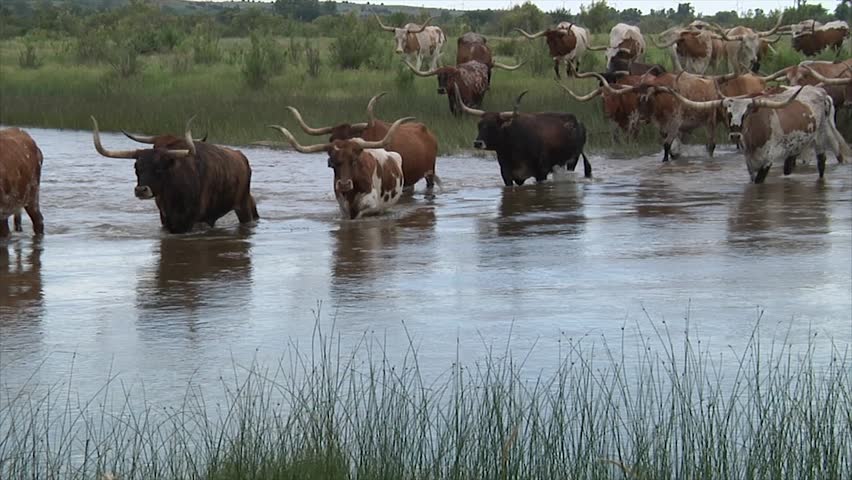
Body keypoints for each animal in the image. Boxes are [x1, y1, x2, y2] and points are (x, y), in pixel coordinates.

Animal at [90, 117, 259, 234]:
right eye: (136, 166)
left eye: (159, 168)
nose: (141, 190)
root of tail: (241, 156)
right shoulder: (166, 220)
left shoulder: (194, 221)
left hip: (243, 207)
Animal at [455, 87, 591, 186]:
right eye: (479, 125)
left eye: (493, 126)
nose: (478, 143)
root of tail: (577, 121)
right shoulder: (506, 174)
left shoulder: (541, 173)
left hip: (572, 160)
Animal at [662, 85, 851, 183]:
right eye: (728, 113)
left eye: (747, 113)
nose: (735, 136)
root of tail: (821, 92)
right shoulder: (750, 162)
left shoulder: (767, 161)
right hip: (795, 145)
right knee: (789, 166)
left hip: (820, 137)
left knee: (822, 163)